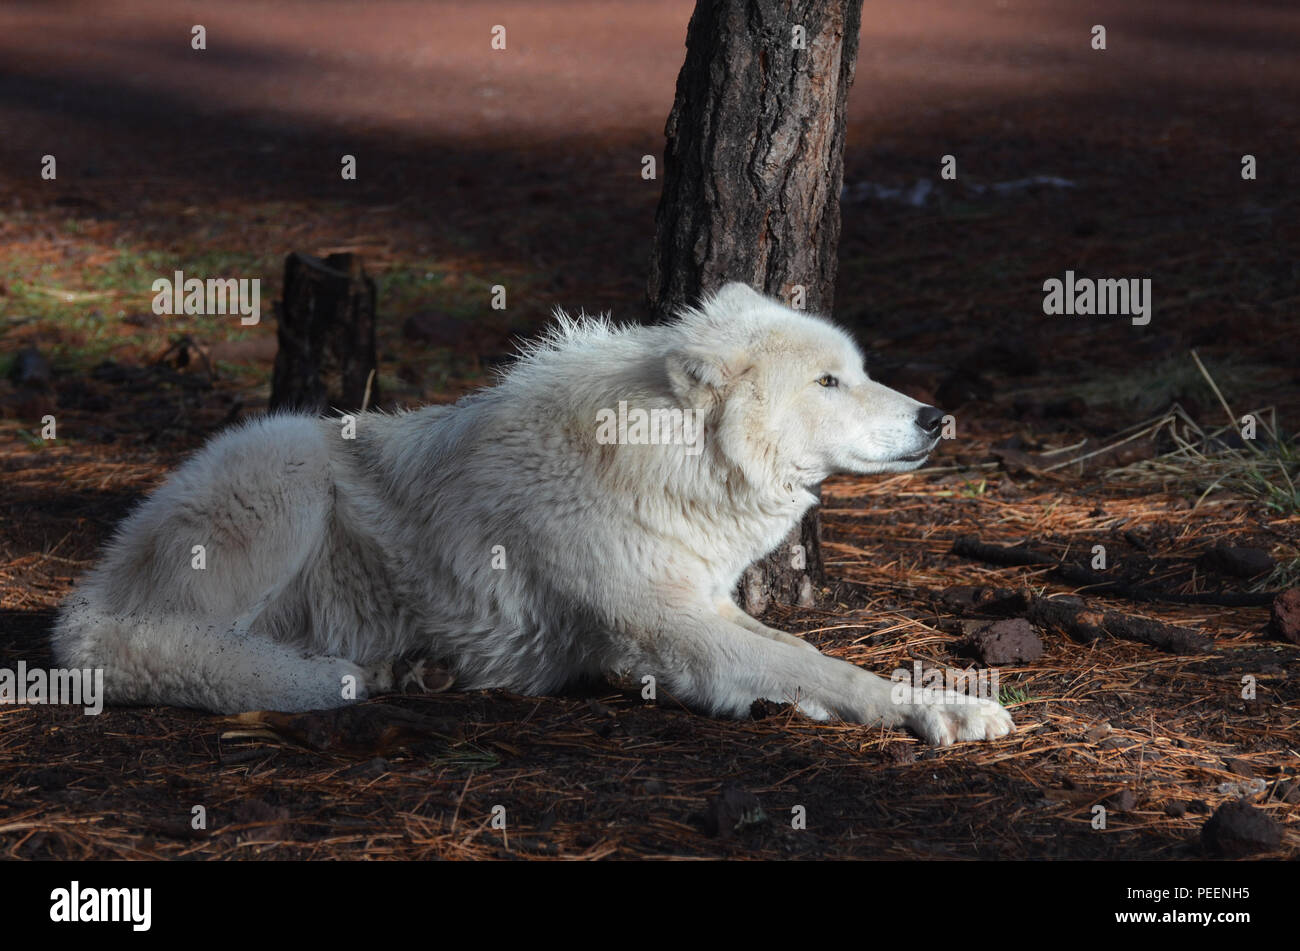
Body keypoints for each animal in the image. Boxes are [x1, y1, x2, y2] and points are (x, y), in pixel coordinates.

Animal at [53, 283, 1013, 744]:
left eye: (859, 371)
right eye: (829, 381)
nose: (936, 417)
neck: (661, 467)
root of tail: (96, 580)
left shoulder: (706, 608)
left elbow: (801, 656)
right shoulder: (672, 635)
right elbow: (827, 666)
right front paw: (945, 712)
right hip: (284, 473)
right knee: (138, 645)